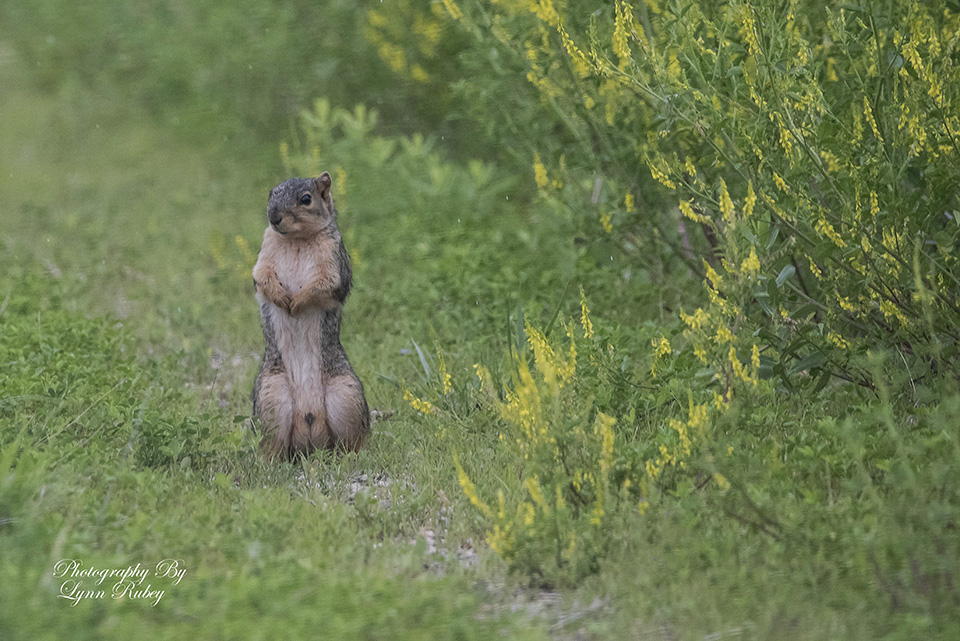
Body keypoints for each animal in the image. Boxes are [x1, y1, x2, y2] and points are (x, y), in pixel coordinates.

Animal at [251, 172, 369, 459]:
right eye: (271, 194)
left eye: (306, 199)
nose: (274, 217)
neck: (296, 239)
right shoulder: (264, 253)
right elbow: (262, 276)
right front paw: (282, 298)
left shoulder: (334, 263)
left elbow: (322, 285)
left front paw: (296, 303)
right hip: (271, 399)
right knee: (273, 444)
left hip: (346, 395)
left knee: (351, 441)